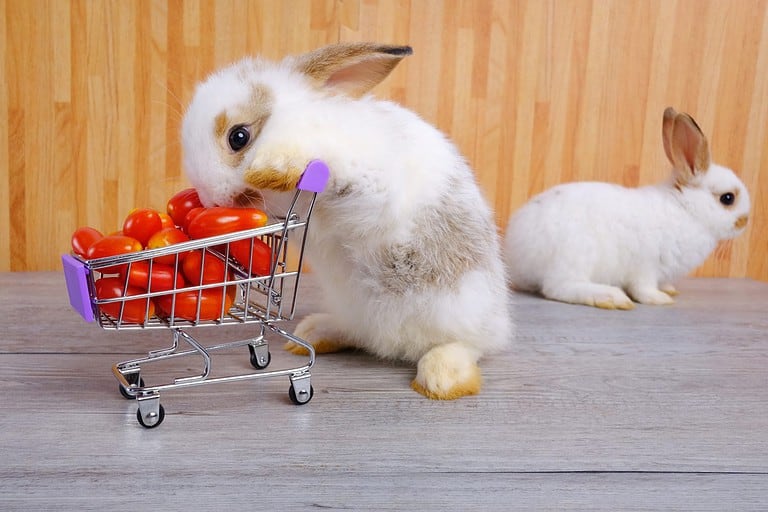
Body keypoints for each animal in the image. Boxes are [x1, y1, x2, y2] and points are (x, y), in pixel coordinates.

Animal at [180, 43, 513, 399]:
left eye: (239, 136)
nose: (209, 199)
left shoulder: (373, 184)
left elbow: (335, 164)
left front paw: (275, 166)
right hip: (354, 308)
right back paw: (313, 334)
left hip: (462, 311)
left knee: (469, 344)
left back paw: (442, 379)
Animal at [504, 107, 751, 310]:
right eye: (728, 198)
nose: (745, 221)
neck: (686, 210)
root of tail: (515, 252)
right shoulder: (646, 266)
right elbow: (643, 288)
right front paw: (660, 299)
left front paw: (669, 289)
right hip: (575, 254)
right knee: (558, 287)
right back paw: (610, 298)